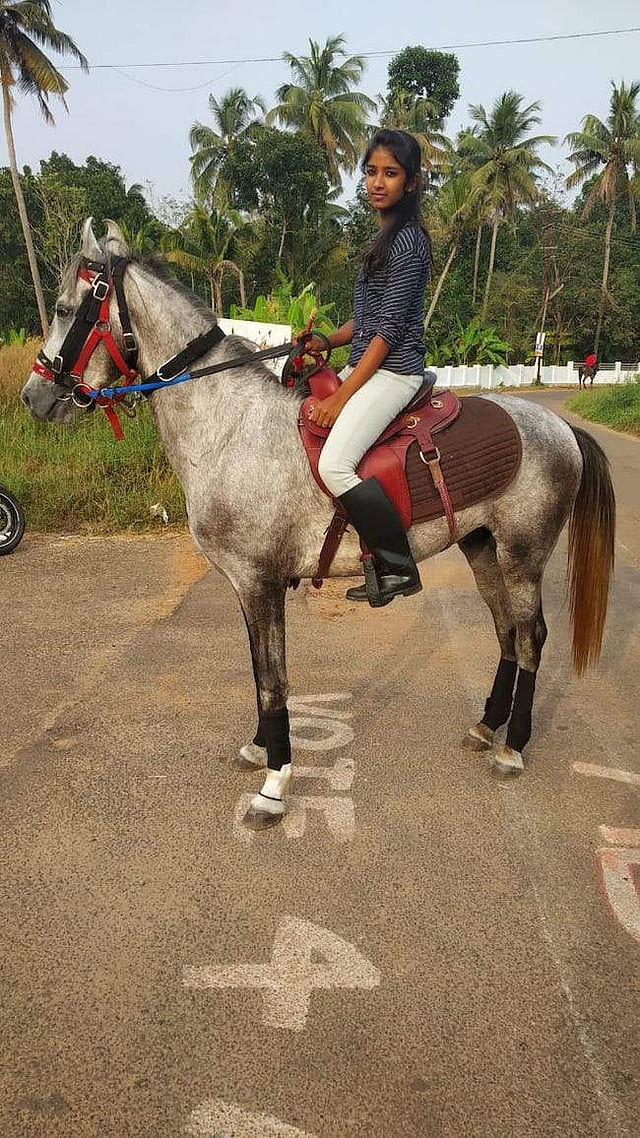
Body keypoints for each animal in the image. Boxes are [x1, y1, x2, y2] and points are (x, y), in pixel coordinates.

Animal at [21, 220, 616, 830]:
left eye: (65, 309)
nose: (34, 396)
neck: (231, 428)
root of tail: (558, 426)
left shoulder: (258, 581)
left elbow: (274, 681)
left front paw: (275, 784)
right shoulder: (248, 585)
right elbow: (261, 671)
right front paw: (262, 749)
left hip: (523, 554)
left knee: (531, 636)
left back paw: (513, 745)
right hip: (481, 547)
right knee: (506, 632)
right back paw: (485, 726)